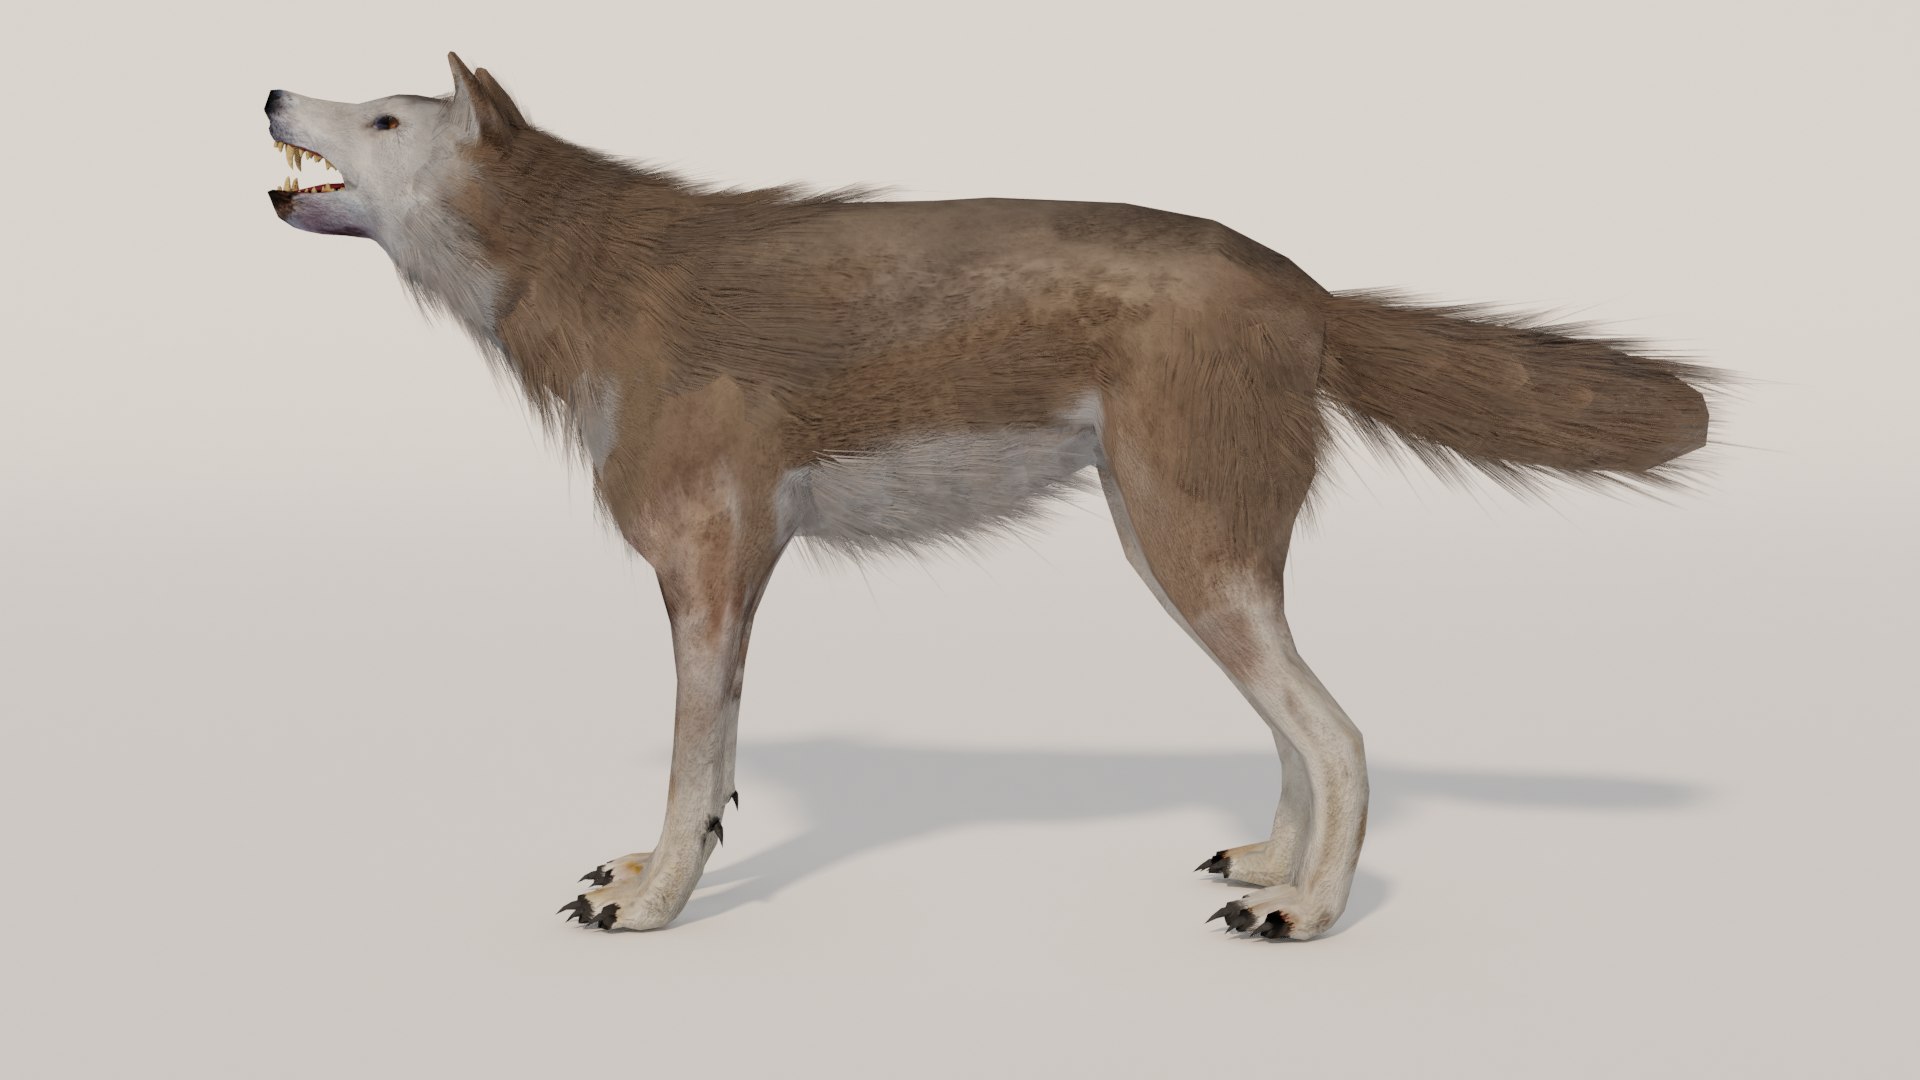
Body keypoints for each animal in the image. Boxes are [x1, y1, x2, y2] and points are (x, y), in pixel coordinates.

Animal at [264, 54, 1716, 940]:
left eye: (386, 118)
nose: (273, 89)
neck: (595, 269)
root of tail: (1303, 286)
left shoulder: (708, 558)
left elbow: (687, 768)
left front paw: (659, 901)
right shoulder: (736, 570)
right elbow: (718, 764)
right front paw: (655, 868)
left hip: (1191, 560)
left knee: (1343, 736)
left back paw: (1305, 915)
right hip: (1175, 555)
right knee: (1299, 739)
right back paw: (1270, 867)